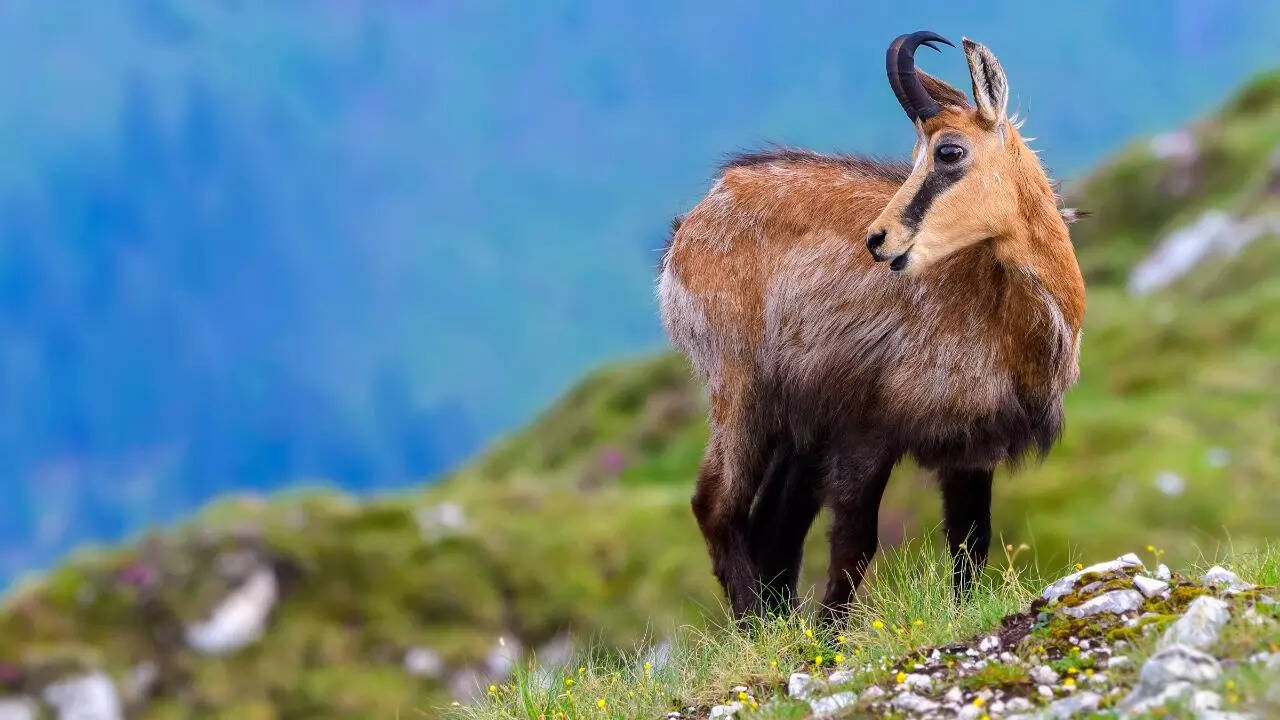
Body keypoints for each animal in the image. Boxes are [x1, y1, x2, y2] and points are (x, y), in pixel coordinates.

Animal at [658, 32, 1085, 618]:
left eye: (949, 151)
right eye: (915, 155)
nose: (879, 239)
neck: (1006, 315)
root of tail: (692, 223)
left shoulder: (972, 444)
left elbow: (970, 543)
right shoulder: (866, 429)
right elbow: (854, 544)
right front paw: (830, 633)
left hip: (797, 423)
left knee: (773, 523)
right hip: (742, 385)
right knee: (717, 503)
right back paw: (754, 624)